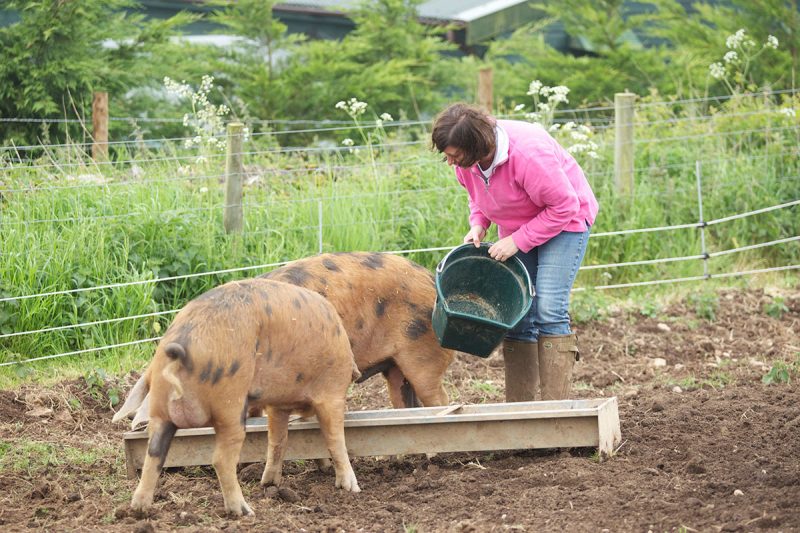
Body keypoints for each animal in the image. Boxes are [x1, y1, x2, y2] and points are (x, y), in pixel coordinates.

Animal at [112, 278, 361, 516]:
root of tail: (184, 342)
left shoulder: (277, 405)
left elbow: (277, 441)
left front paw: (269, 483)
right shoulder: (332, 393)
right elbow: (335, 439)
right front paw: (351, 487)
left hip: (160, 411)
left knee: (154, 454)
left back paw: (139, 510)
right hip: (230, 403)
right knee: (221, 460)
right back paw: (244, 512)